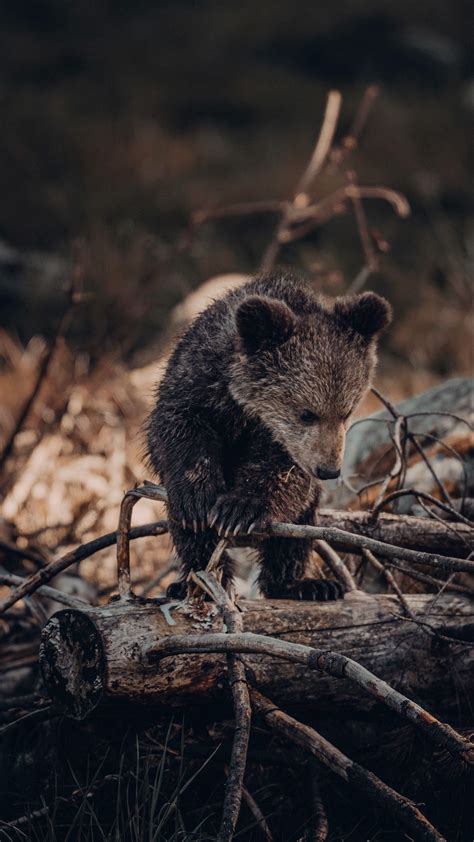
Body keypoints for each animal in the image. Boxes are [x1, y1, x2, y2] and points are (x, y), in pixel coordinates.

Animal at [146, 271, 391, 600]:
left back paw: (304, 585)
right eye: (307, 413)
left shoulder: (286, 447)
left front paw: (240, 509)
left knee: (294, 533)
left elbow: (282, 476)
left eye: (347, 411)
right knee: (189, 535)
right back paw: (195, 581)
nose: (328, 470)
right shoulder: (196, 384)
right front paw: (197, 498)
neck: (248, 407)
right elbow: (175, 432)